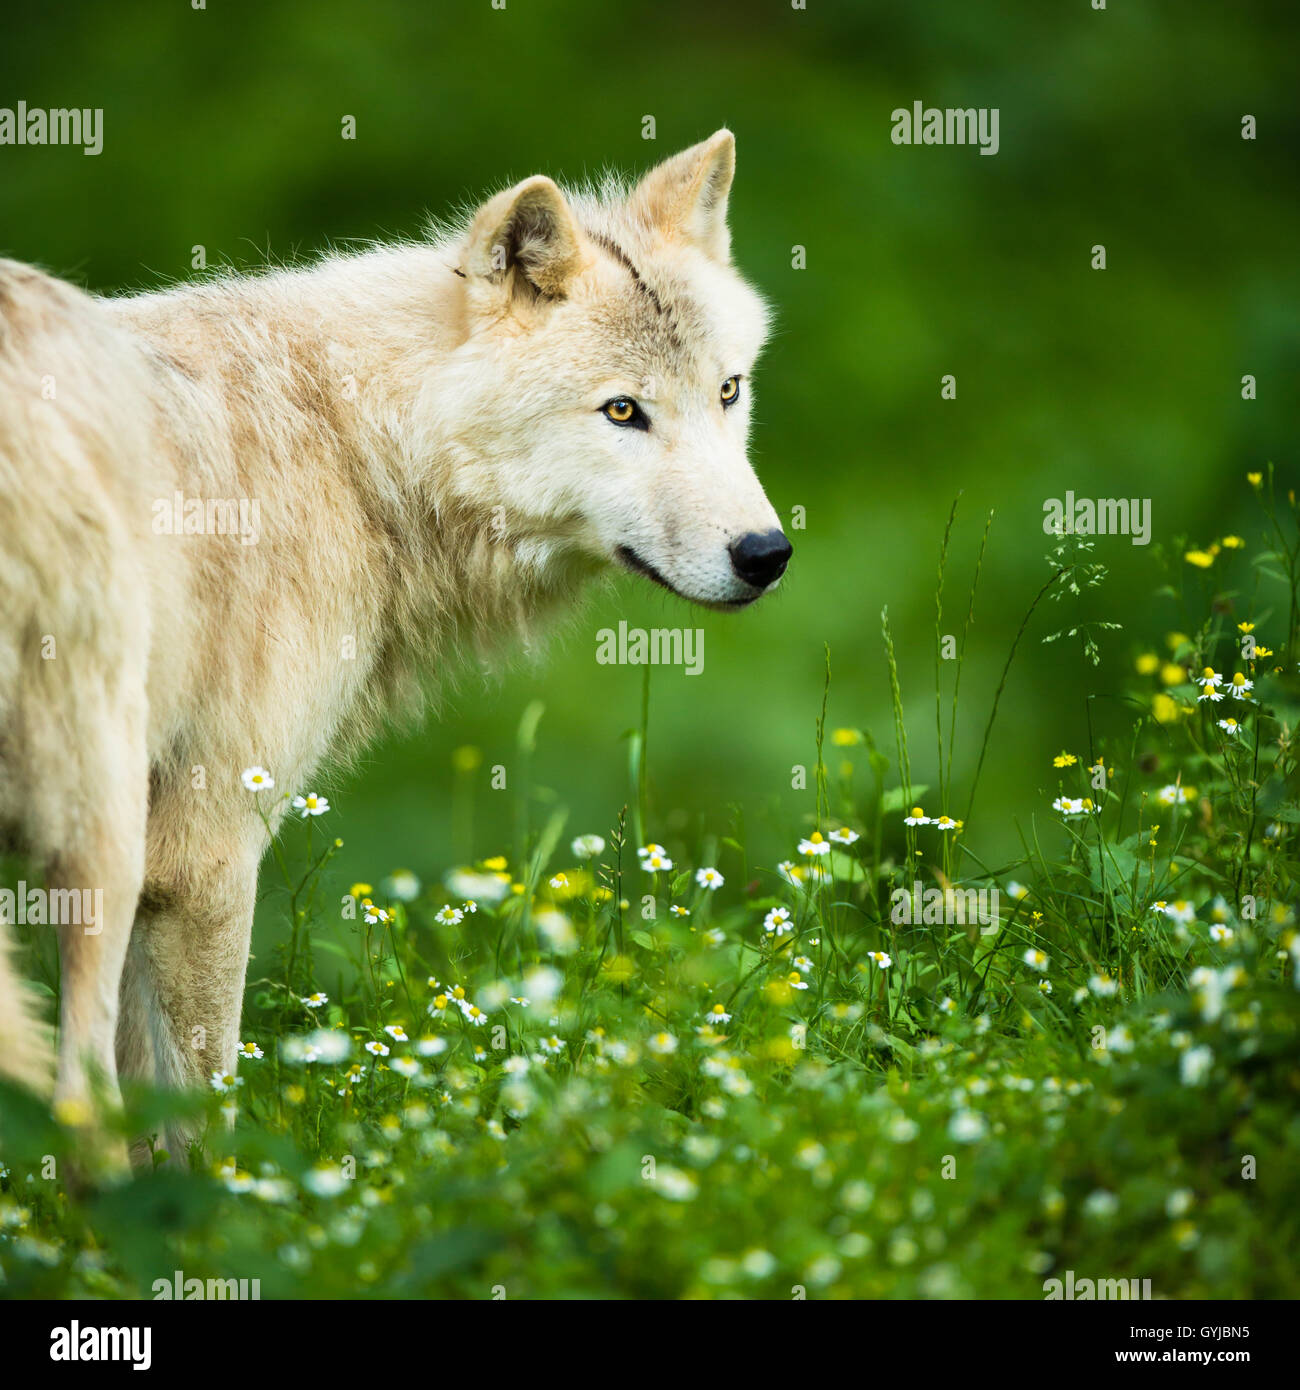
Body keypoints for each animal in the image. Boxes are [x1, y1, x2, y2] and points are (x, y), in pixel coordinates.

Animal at [0, 130, 790, 1160]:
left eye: (728, 391)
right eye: (624, 412)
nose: (767, 554)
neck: (356, 448)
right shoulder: (204, 853)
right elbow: (194, 1111)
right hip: (99, 838)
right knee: (79, 1098)